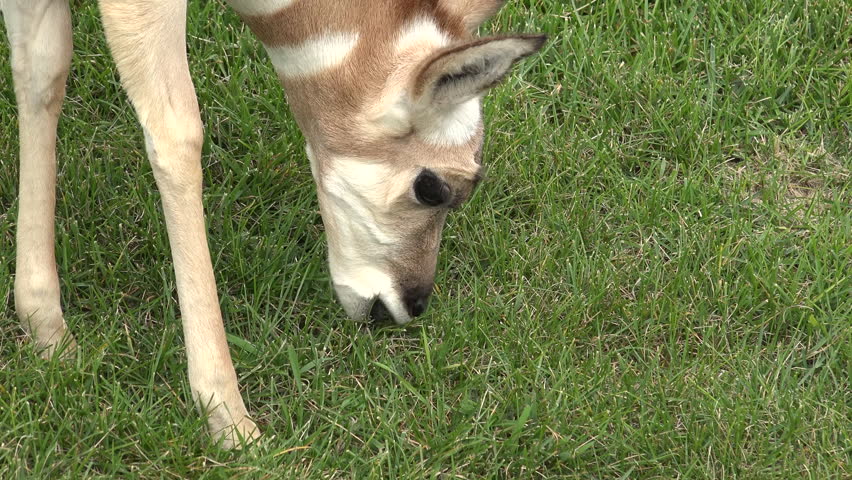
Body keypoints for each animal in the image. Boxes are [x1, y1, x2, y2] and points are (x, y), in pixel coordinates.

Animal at [2, 0, 545, 447]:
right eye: (432, 187)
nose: (409, 306)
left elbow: (41, 71)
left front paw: (47, 332)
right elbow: (178, 133)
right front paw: (230, 420)